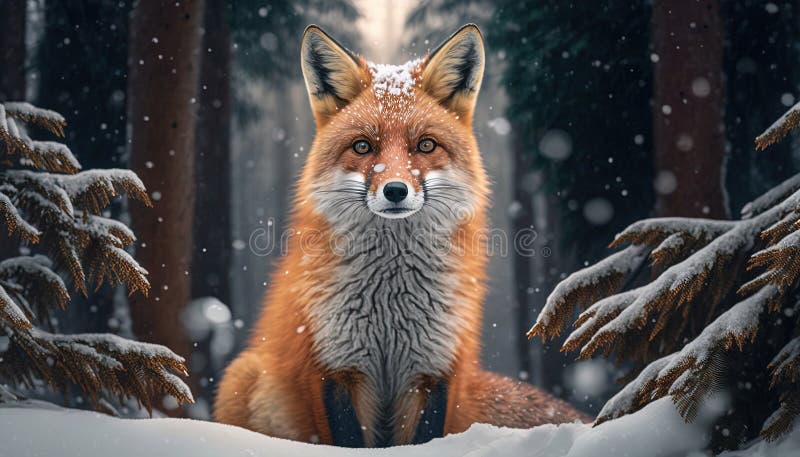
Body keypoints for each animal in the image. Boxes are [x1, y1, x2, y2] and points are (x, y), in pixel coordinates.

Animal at [214, 24, 588, 447]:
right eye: (363, 146)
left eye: (425, 145)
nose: (395, 190)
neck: (389, 309)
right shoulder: (335, 368)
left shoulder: (433, 371)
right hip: (242, 375)